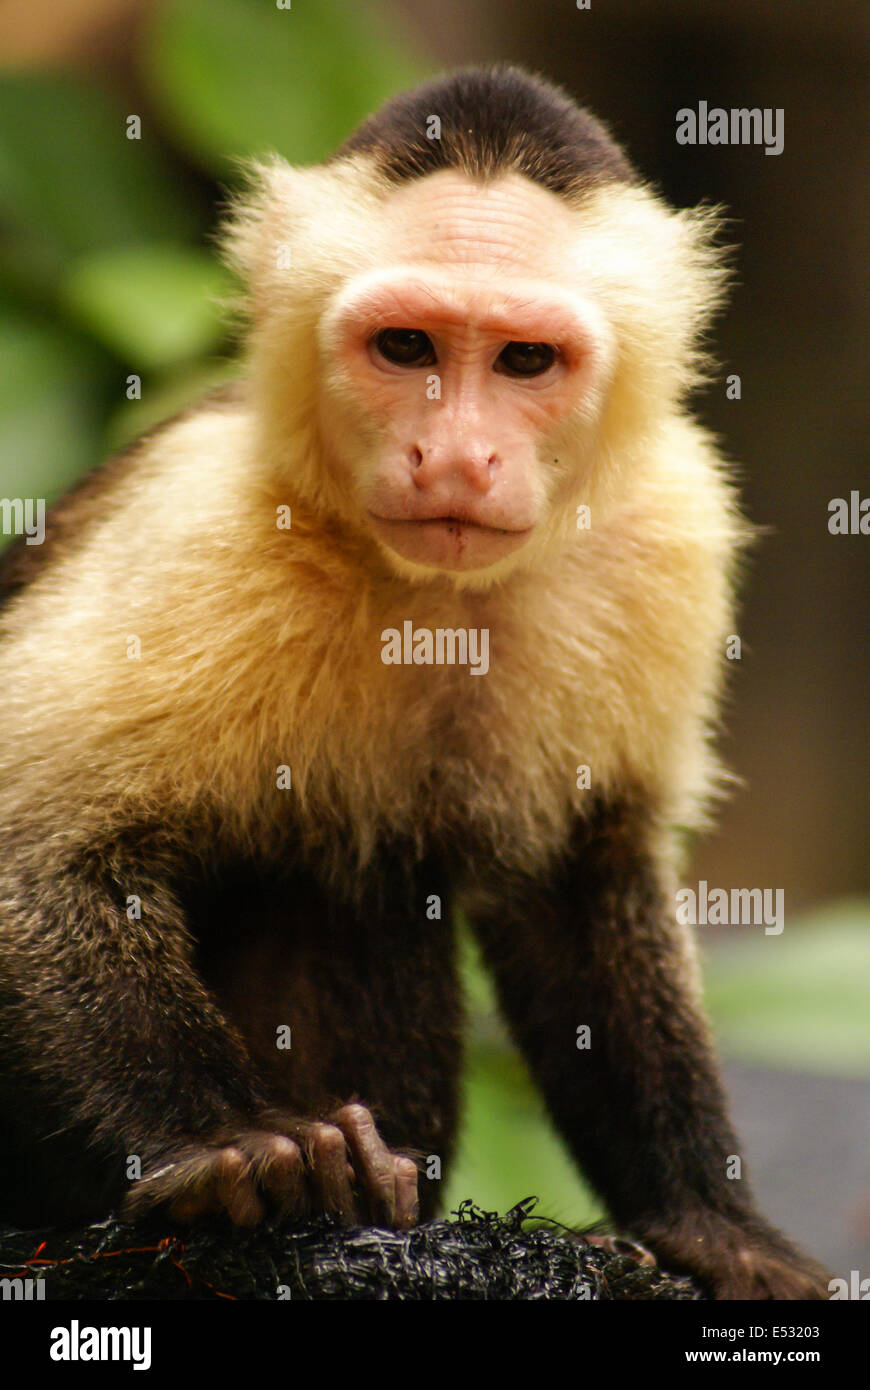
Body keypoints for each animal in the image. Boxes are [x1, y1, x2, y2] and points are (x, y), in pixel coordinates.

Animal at [0, 64, 829, 1299]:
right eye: (404, 347)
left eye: (525, 361)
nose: (455, 457)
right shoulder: (202, 514)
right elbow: (37, 841)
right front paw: (229, 1146)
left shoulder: (672, 525)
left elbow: (586, 874)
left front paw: (707, 1221)